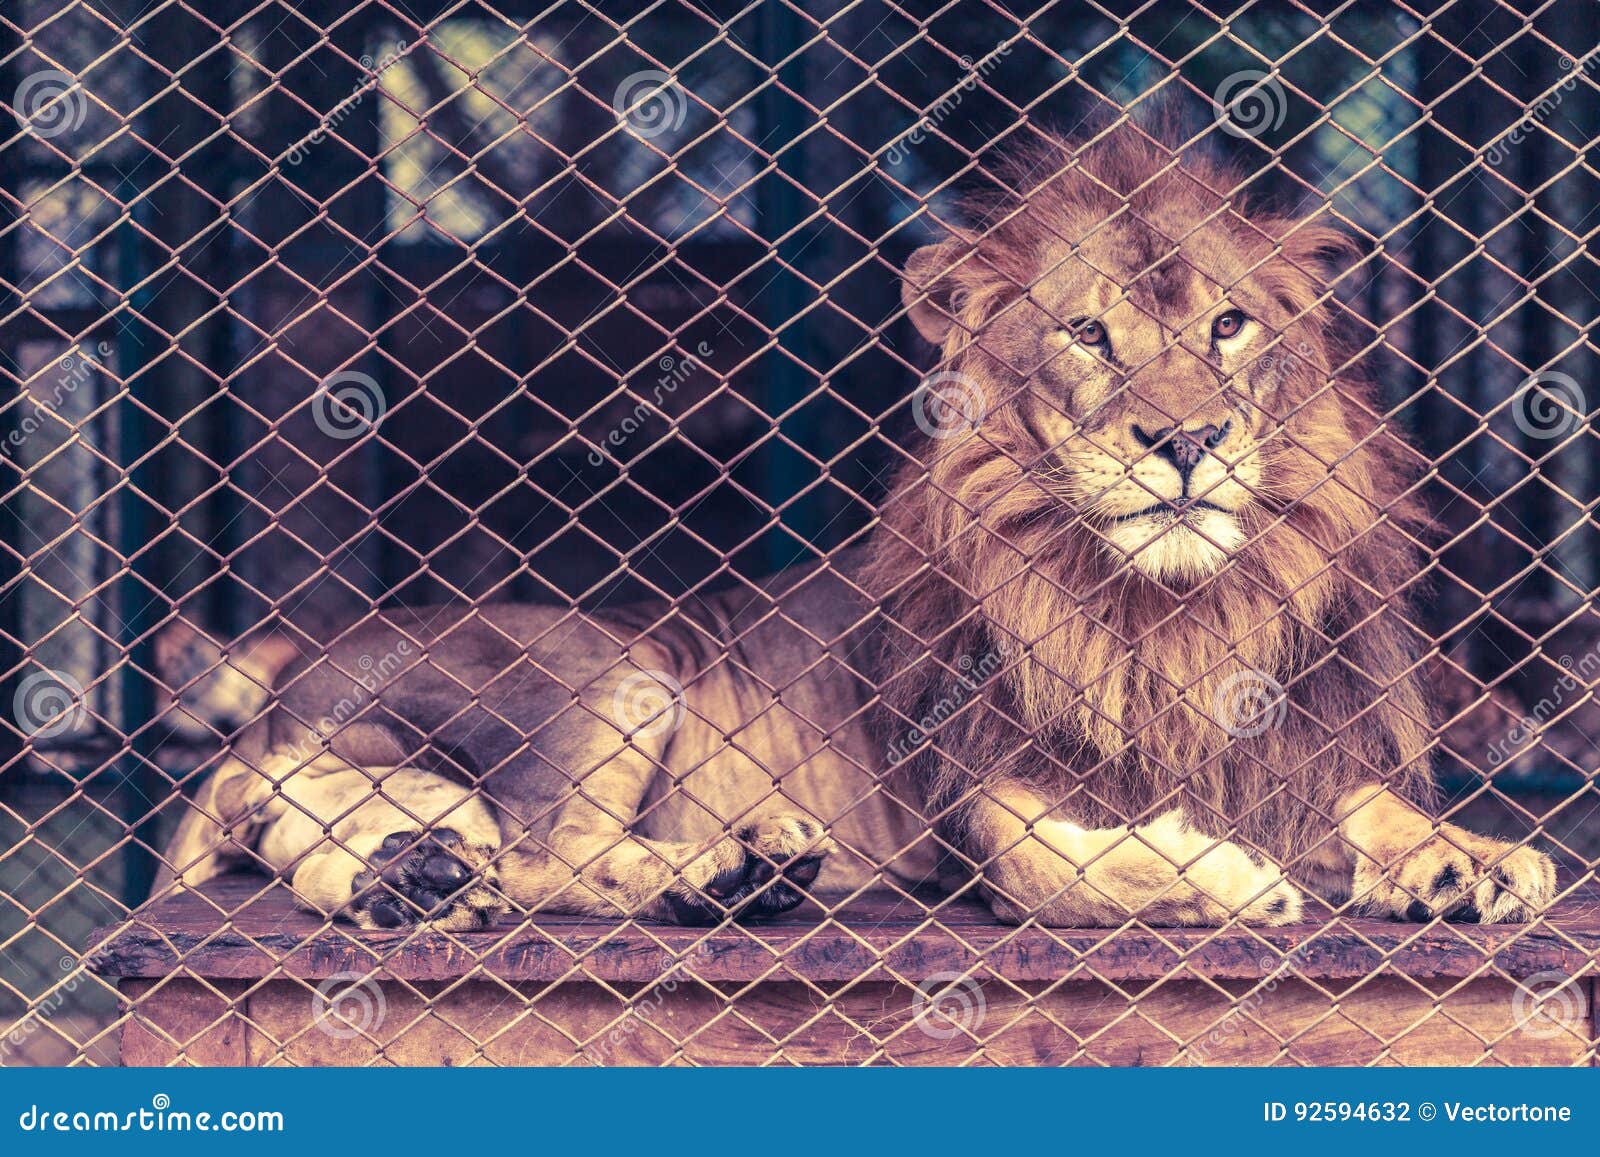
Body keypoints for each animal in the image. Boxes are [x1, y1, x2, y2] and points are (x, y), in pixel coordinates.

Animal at [156, 124, 1557, 931]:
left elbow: (1371, 803)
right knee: (551, 850)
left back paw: (441, 879)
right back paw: (711, 869)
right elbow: (1049, 862)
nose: (1185, 440)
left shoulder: (1291, 751)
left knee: (399, 857)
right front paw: (1204, 875)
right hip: (612, 669)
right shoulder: (961, 794)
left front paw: (1468, 859)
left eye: (1228, 325)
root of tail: (281, 702)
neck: (1162, 608)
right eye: (1088, 333)